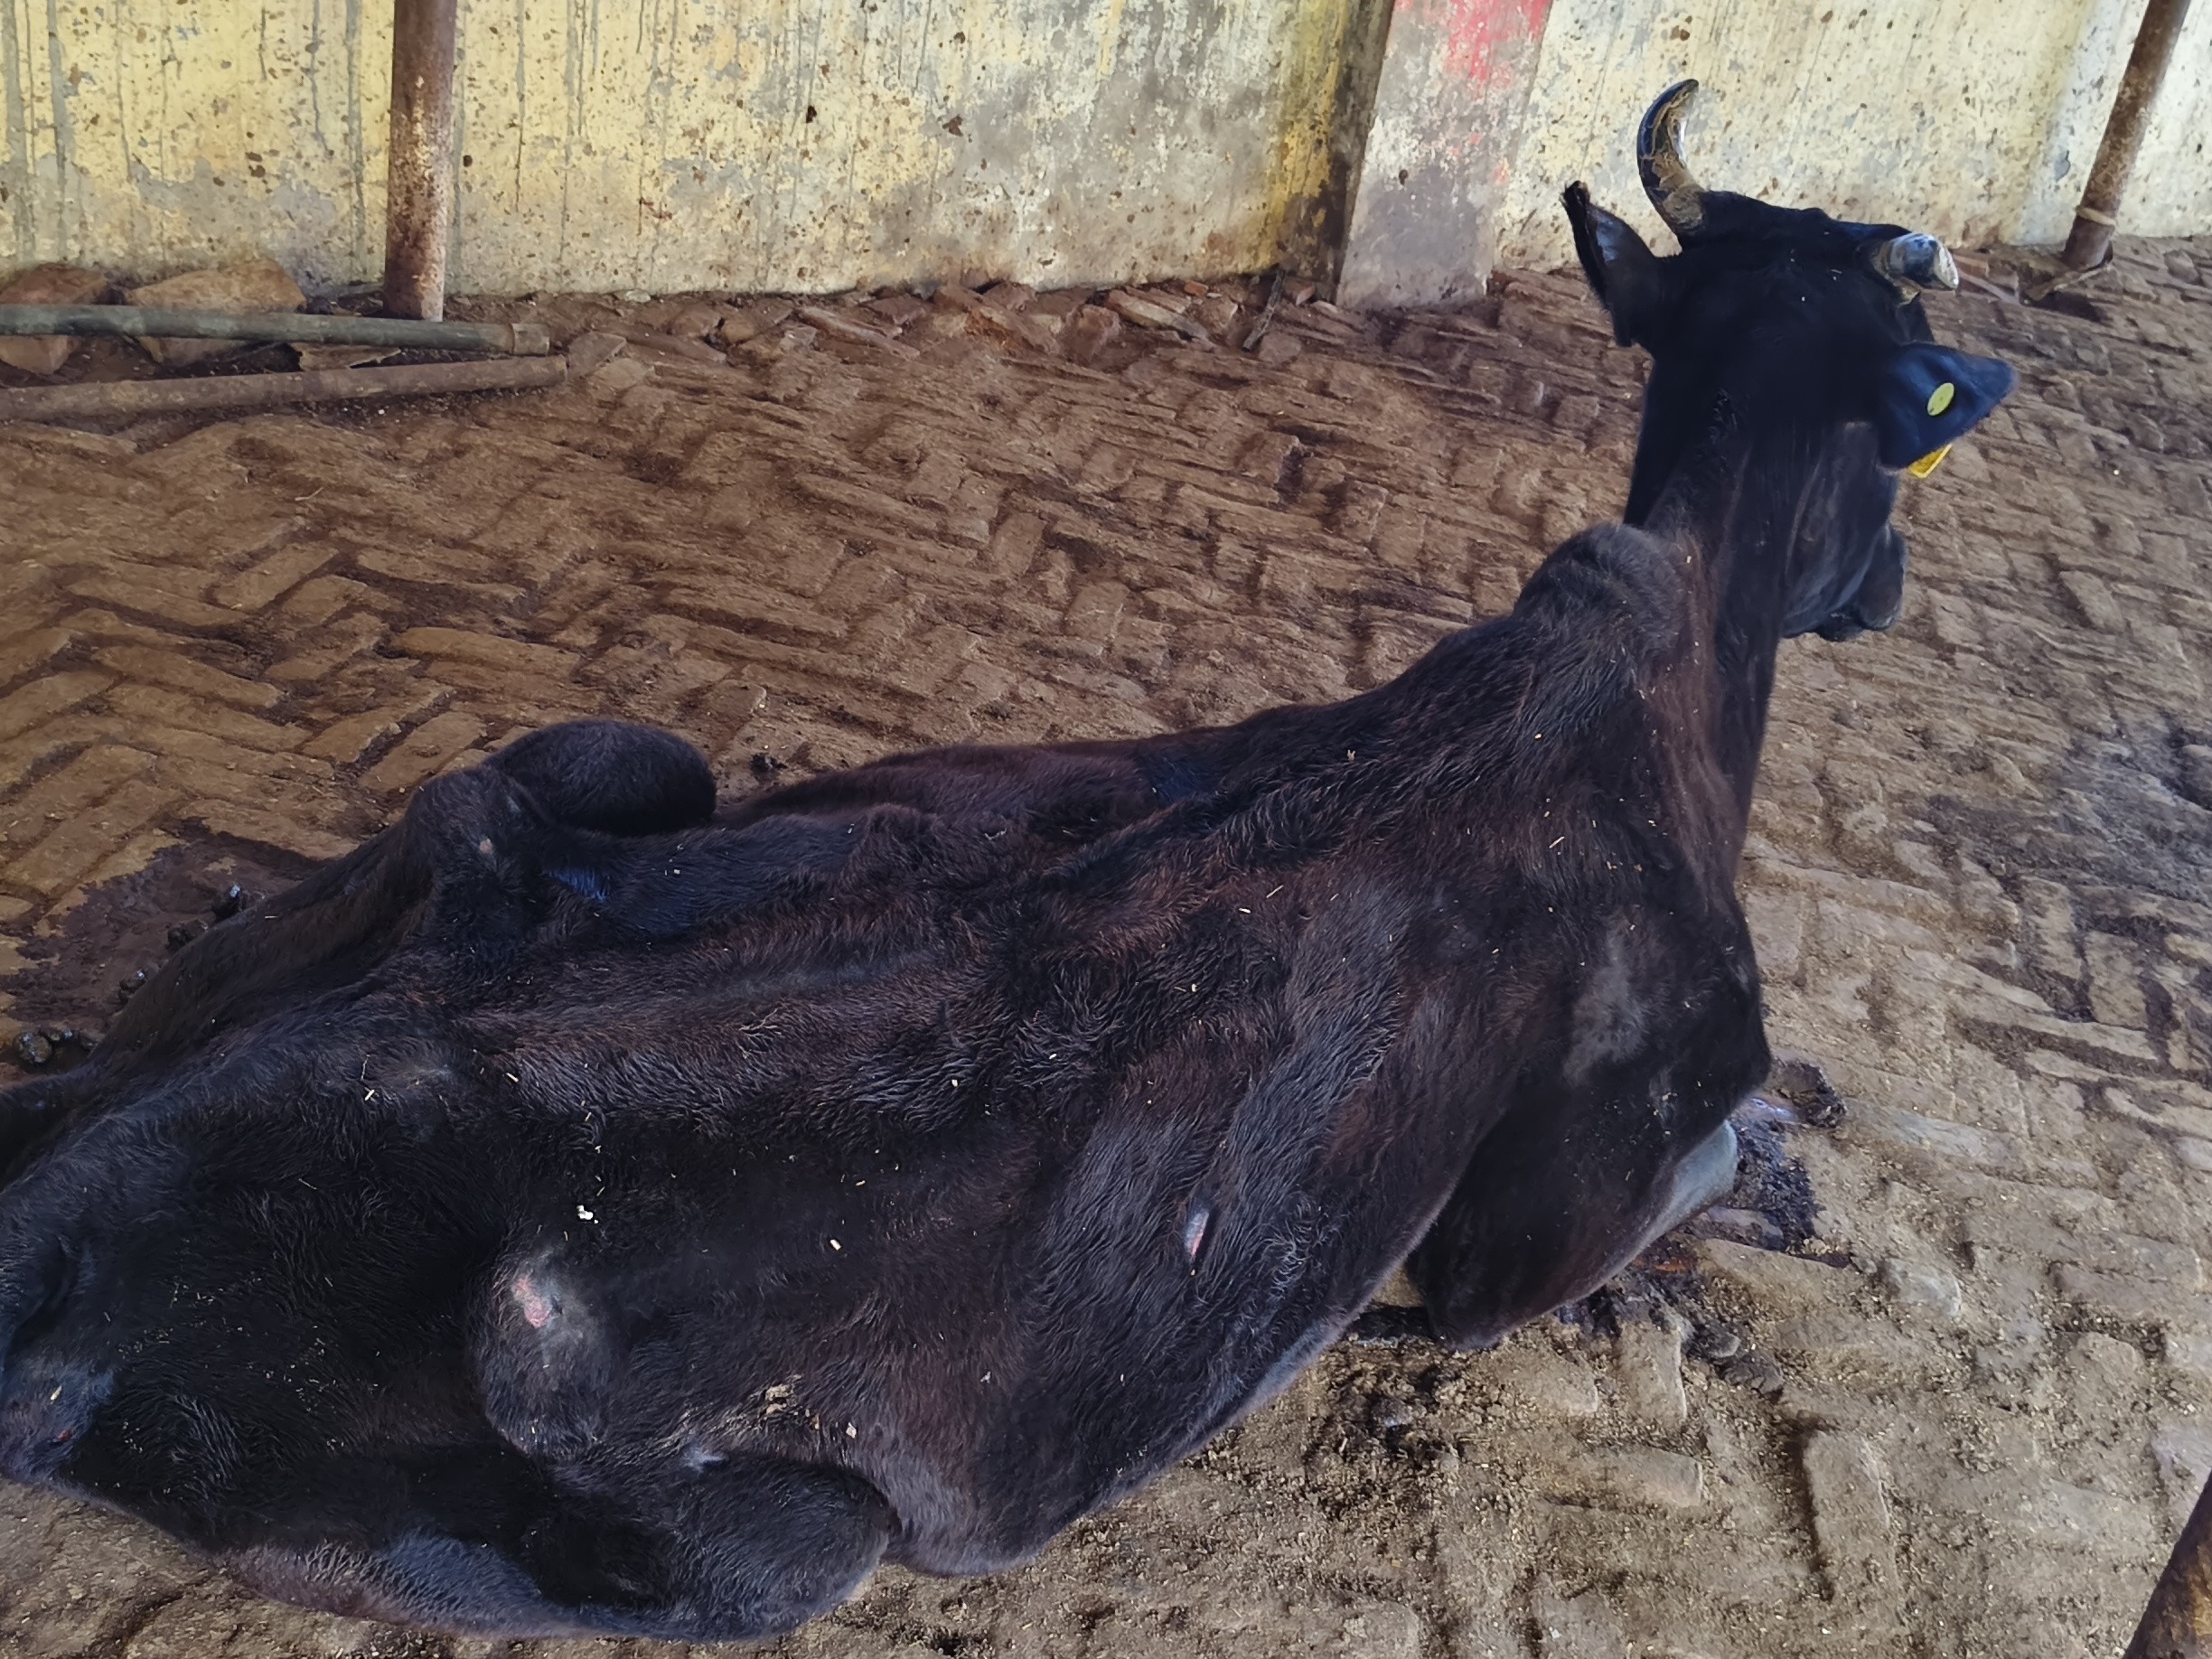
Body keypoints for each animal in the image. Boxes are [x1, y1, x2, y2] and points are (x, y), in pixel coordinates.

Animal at [0, 84, 2011, 1643]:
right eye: (1906, 457)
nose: (1893, 588)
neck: (1679, 652)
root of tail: (90, 1163)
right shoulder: (1539, 1234)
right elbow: (1701, 1163)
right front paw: (1785, 1157)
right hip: (770, 1546)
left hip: (600, 762)